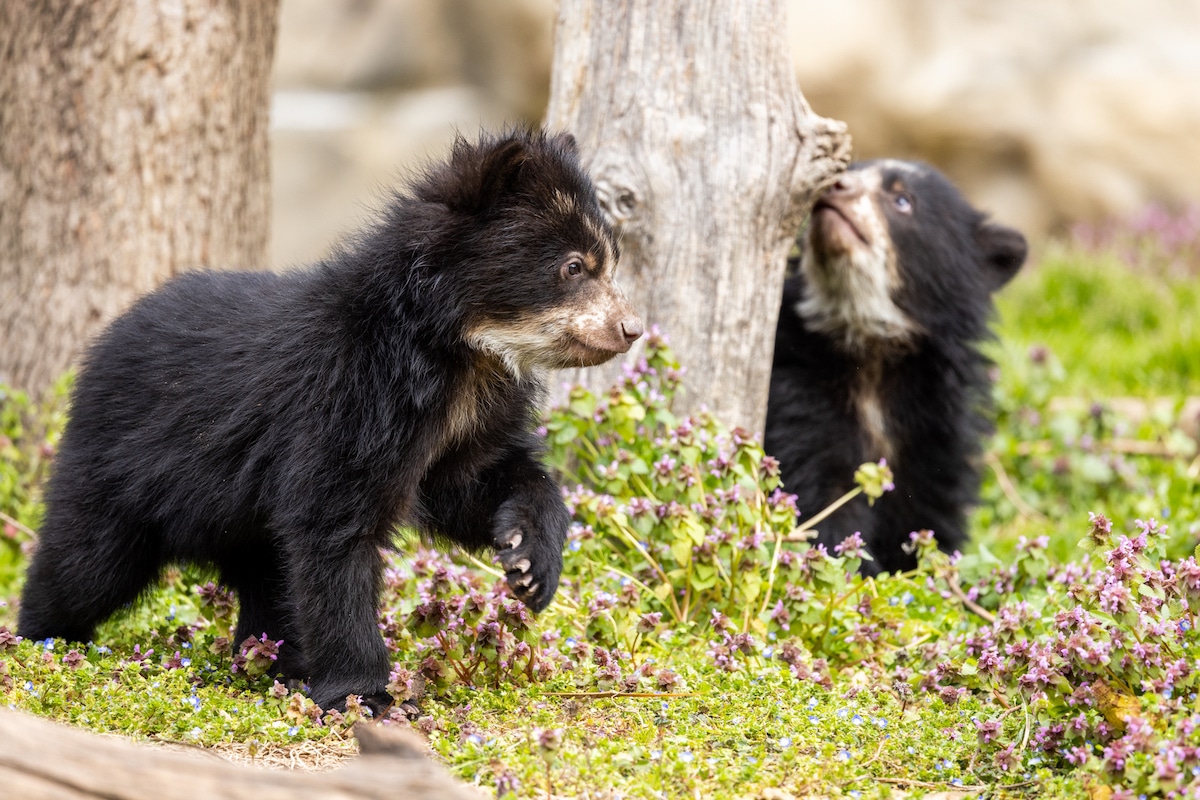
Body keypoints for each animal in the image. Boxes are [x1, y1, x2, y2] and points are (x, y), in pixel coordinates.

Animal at [18, 128, 643, 712]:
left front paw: (529, 563)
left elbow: (472, 484)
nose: (631, 328)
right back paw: (44, 640)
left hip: (236, 516)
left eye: (609, 261)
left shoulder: (463, 423)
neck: (458, 355)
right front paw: (364, 693)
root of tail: (104, 341)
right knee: (84, 563)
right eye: (573, 266)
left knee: (266, 579)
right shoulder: (349, 400)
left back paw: (275, 662)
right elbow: (334, 527)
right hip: (122, 465)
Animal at [764, 159, 1027, 574]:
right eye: (847, 170)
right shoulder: (798, 398)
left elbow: (927, 513)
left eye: (902, 200)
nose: (835, 187)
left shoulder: (935, 430)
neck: (872, 352)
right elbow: (819, 498)